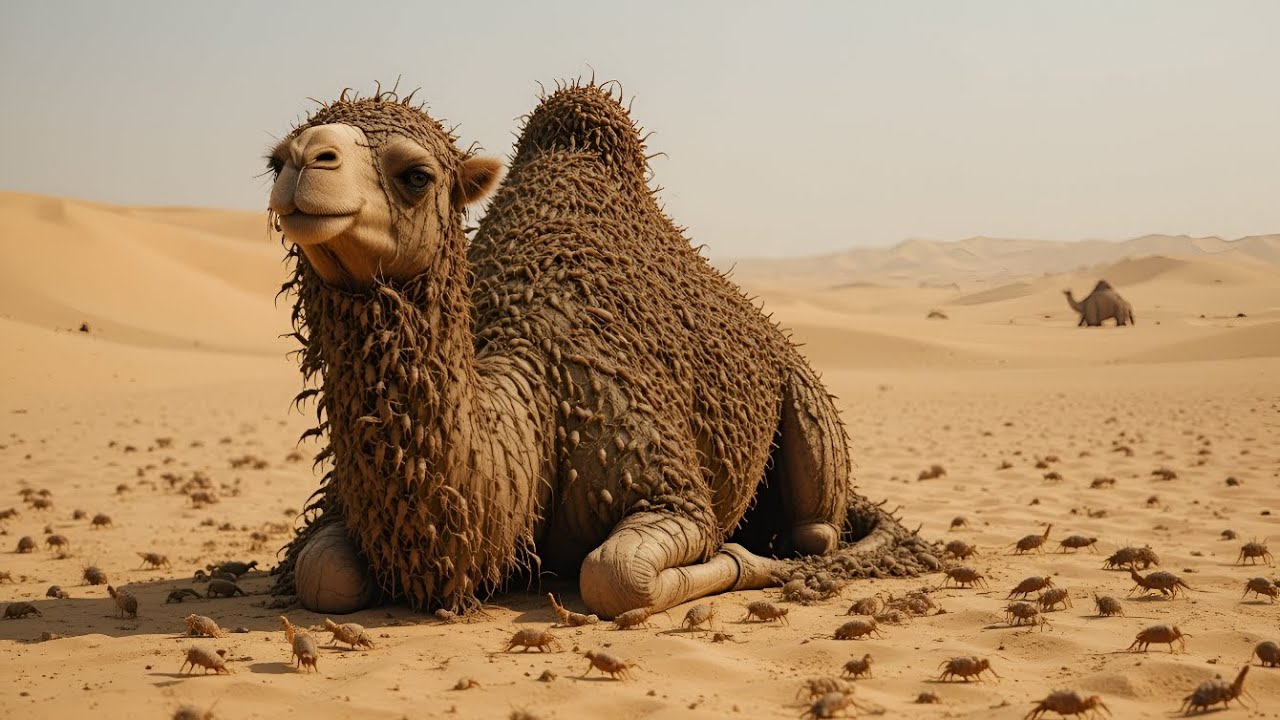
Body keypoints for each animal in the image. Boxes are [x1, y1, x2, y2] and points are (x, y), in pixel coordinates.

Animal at [267, 82, 932, 618]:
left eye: (416, 175)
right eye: (274, 158)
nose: (304, 161)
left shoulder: (658, 474)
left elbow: (614, 575)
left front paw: (745, 558)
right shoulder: (339, 504)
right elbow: (322, 572)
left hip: (809, 405)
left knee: (818, 530)